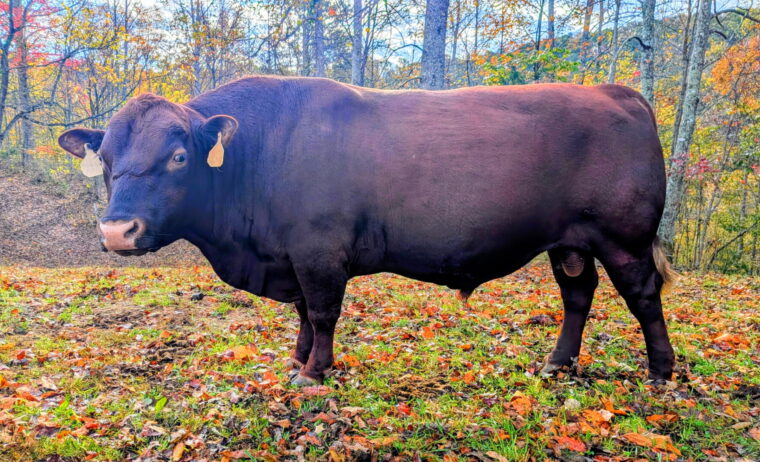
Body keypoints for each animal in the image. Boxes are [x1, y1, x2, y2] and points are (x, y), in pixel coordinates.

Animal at [58, 76, 677, 385]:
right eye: (106, 158)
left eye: (180, 156)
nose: (117, 232)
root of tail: (616, 93)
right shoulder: (292, 256)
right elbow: (302, 314)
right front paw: (297, 359)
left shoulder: (319, 251)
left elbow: (323, 312)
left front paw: (314, 372)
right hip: (570, 243)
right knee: (578, 295)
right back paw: (557, 363)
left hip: (624, 238)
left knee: (644, 298)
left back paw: (661, 372)